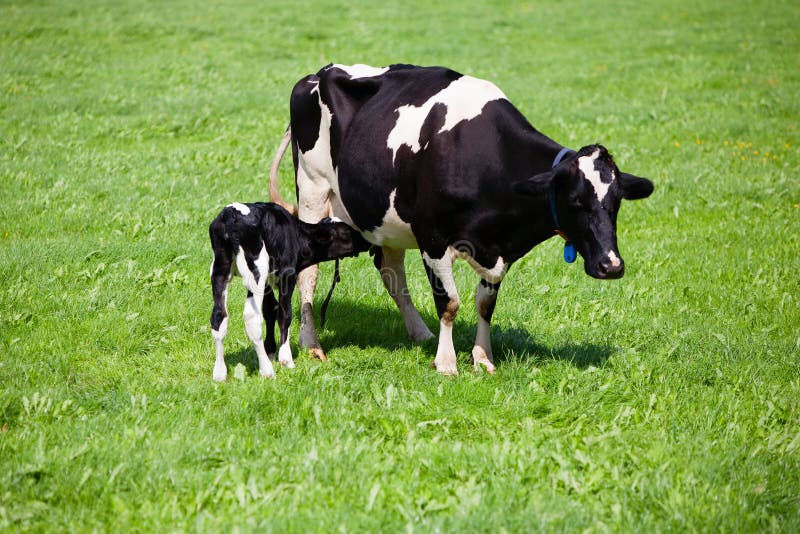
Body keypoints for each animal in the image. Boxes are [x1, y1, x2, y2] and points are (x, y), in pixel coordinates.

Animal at [209, 202, 369, 381]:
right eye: (346, 232)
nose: (368, 240)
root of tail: (231, 213)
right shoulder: (287, 275)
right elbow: (285, 314)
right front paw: (286, 359)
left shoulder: (269, 282)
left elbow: (270, 311)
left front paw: (270, 351)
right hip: (256, 271)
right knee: (251, 317)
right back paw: (266, 370)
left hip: (220, 269)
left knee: (218, 316)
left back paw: (220, 373)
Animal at [268, 63, 654, 375]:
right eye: (575, 202)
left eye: (616, 202)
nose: (611, 265)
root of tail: (318, 73)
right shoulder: (433, 238)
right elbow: (449, 303)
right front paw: (446, 363)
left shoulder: (499, 249)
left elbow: (485, 304)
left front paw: (482, 358)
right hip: (313, 191)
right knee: (309, 273)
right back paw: (311, 343)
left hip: (385, 217)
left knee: (391, 272)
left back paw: (420, 332)